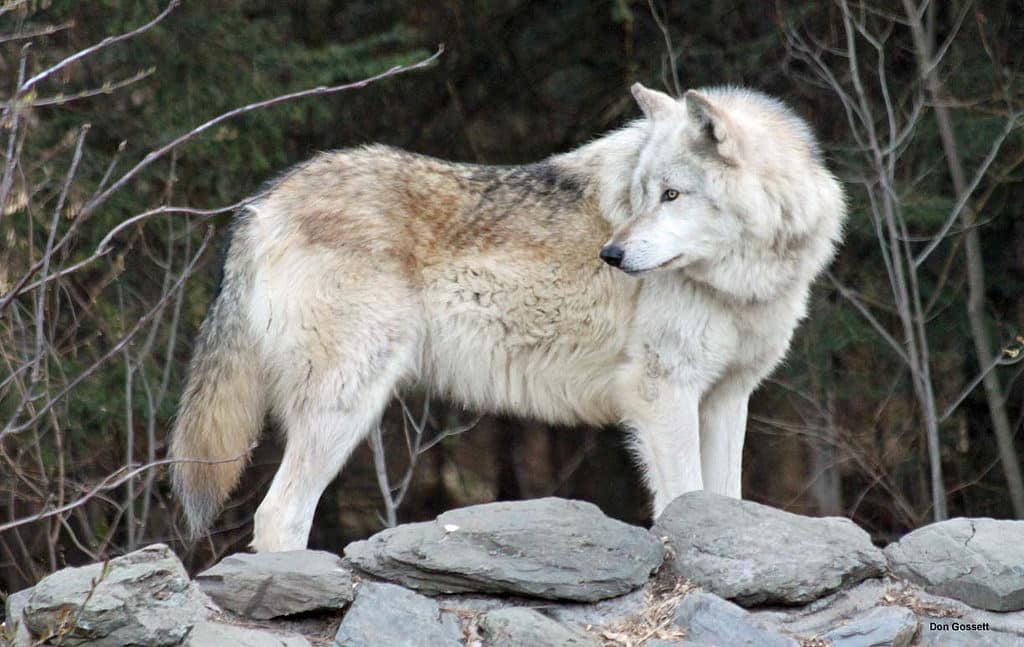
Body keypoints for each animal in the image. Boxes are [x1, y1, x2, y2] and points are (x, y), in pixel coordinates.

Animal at [170, 83, 845, 551]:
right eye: (643, 195)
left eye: (672, 195)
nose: (612, 255)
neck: (744, 281)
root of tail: (263, 202)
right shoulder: (663, 392)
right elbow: (684, 496)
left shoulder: (727, 396)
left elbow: (724, 498)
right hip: (347, 406)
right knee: (278, 515)